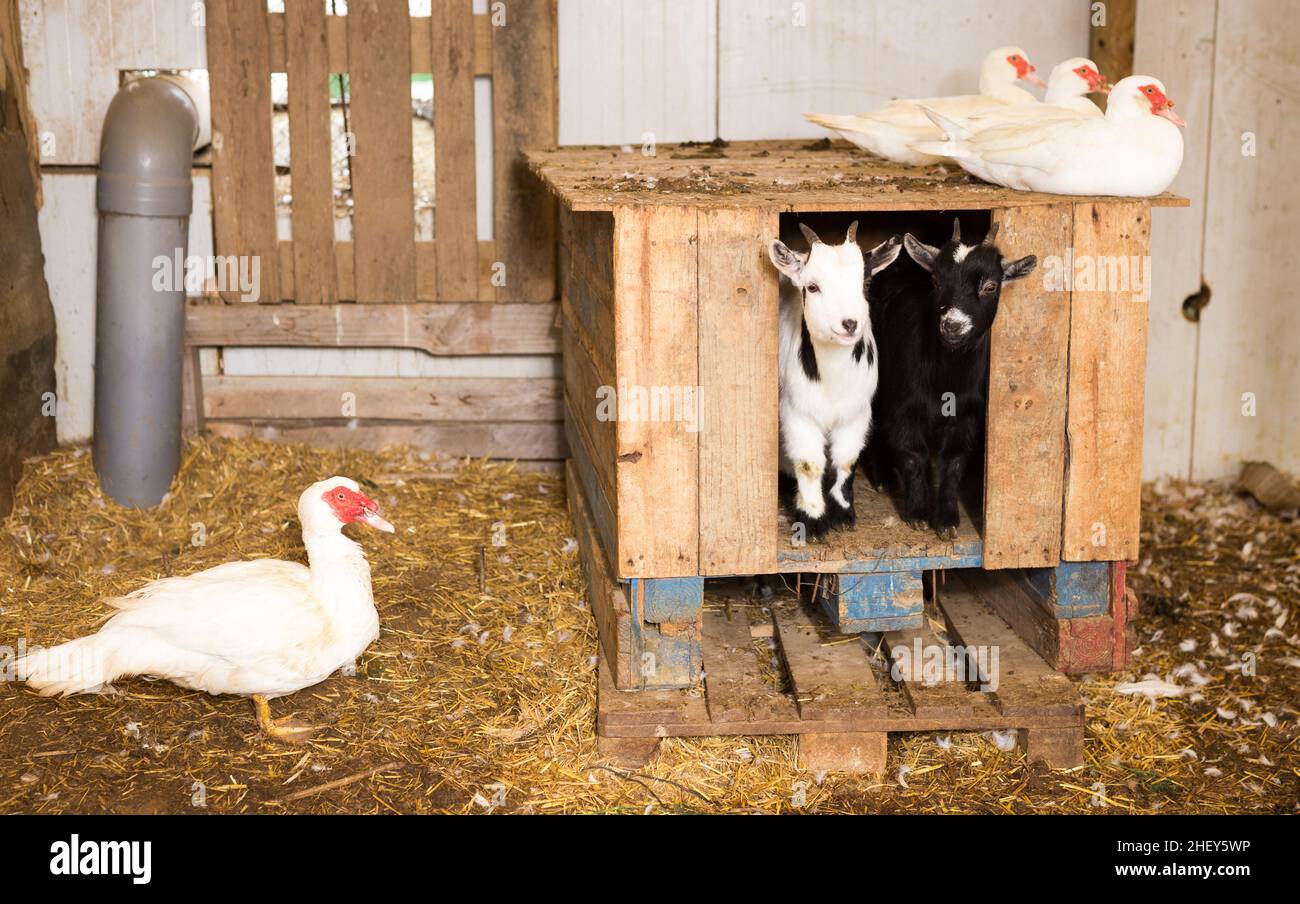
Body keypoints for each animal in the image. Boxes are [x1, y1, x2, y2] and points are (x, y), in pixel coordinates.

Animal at [768, 222, 902, 539]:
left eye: (866, 284)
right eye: (812, 287)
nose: (849, 323)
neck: (833, 380)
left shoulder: (857, 413)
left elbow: (846, 459)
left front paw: (842, 512)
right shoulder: (797, 412)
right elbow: (809, 463)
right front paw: (813, 518)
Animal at [865, 219, 1037, 538]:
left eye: (990, 286)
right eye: (935, 282)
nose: (952, 325)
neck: (946, 381)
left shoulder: (967, 414)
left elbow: (954, 462)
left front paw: (947, 520)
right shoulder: (903, 408)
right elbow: (913, 455)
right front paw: (918, 513)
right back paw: (881, 475)